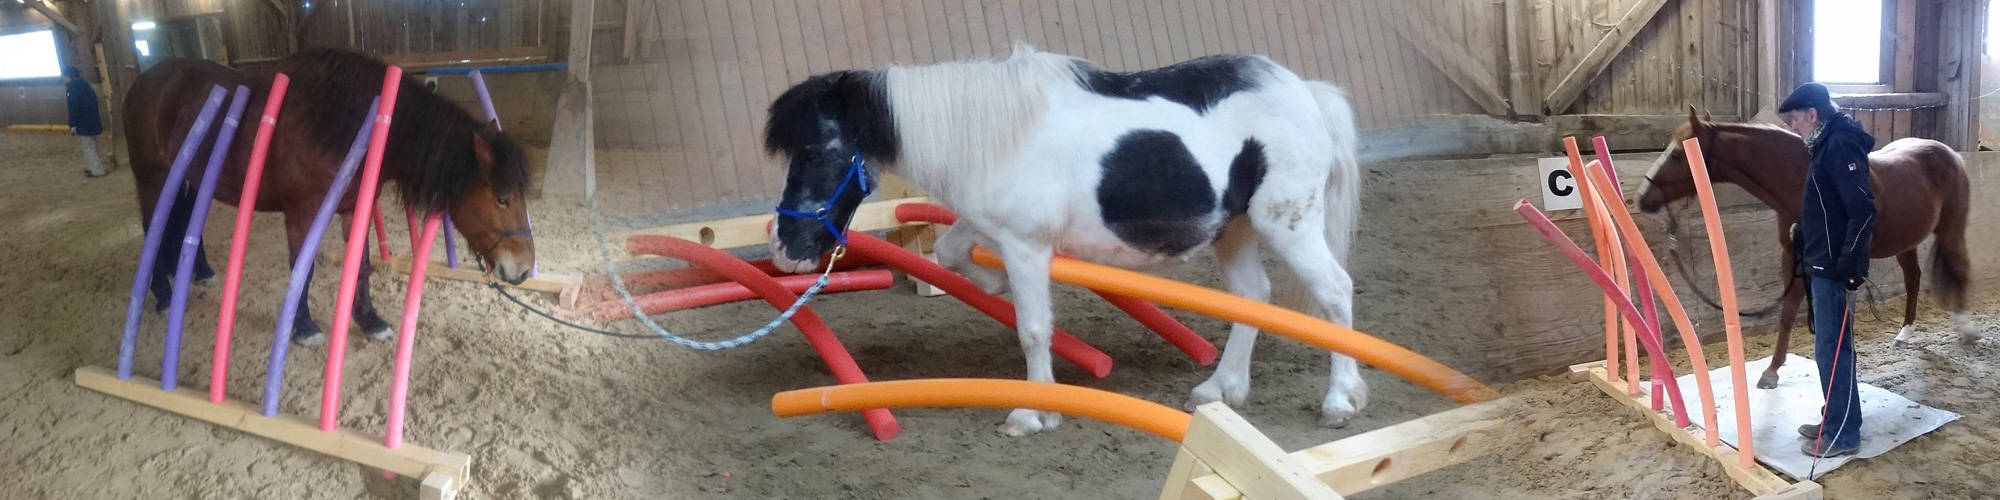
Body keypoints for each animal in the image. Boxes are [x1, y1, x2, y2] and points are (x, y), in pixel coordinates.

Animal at [123, 47, 537, 347]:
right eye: (502, 199)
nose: (523, 269)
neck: (343, 125)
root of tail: (144, 79)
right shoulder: (302, 214)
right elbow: (301, 270)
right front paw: (304, 328)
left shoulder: (355, 209)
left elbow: (362, 267)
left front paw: (370, 321)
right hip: (152, 180)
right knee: (152, 228)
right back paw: (162, 294)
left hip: (190, 180)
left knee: (182, 220)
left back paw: (200, 273)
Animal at [762, 44, 1365, 435]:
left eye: (817, 150)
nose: (784, 250)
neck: (1002, 133)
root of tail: (1306, 92)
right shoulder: (991, 226)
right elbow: (952, 253)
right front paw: (992, 286)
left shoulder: (1024, 244)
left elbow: (1033, 330)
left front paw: (1033, 413)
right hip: (1235, 230)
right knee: (1253, 296)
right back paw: (1221, 390)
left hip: (1286, 224)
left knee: (1335, 292)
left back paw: (1340, 399)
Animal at [1637, 107, 1974, 389]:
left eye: (1678, 154)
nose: (1642, 197)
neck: (1801, 178)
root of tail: (1950, 154)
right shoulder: (1794, 256)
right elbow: (1787, 313)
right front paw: (1772, 371)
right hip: (1906, 240)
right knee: (1914, 279)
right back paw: (1904, 334)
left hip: (1951, 231)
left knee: (1958, 270)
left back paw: (1965, 328)